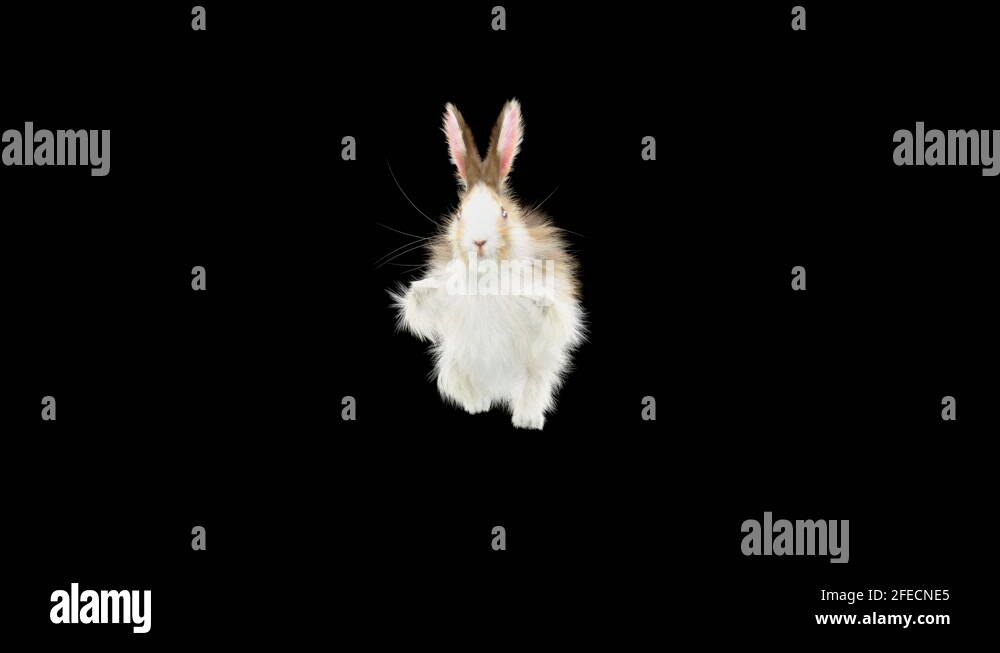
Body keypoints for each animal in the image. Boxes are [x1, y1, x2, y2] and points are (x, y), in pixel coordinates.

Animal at [390, 99, 585, 430]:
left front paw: (533, 295)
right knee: (464, 386)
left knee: (531, 390)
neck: (485, 274)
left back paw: (526, 419)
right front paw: (424, 286)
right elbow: (418, 305)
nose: (479, 241)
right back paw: (477, 405)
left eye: (503, 213)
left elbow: (555, 310)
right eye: (459, 214)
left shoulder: (559, 301)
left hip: (537, 368)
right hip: (454, 362)